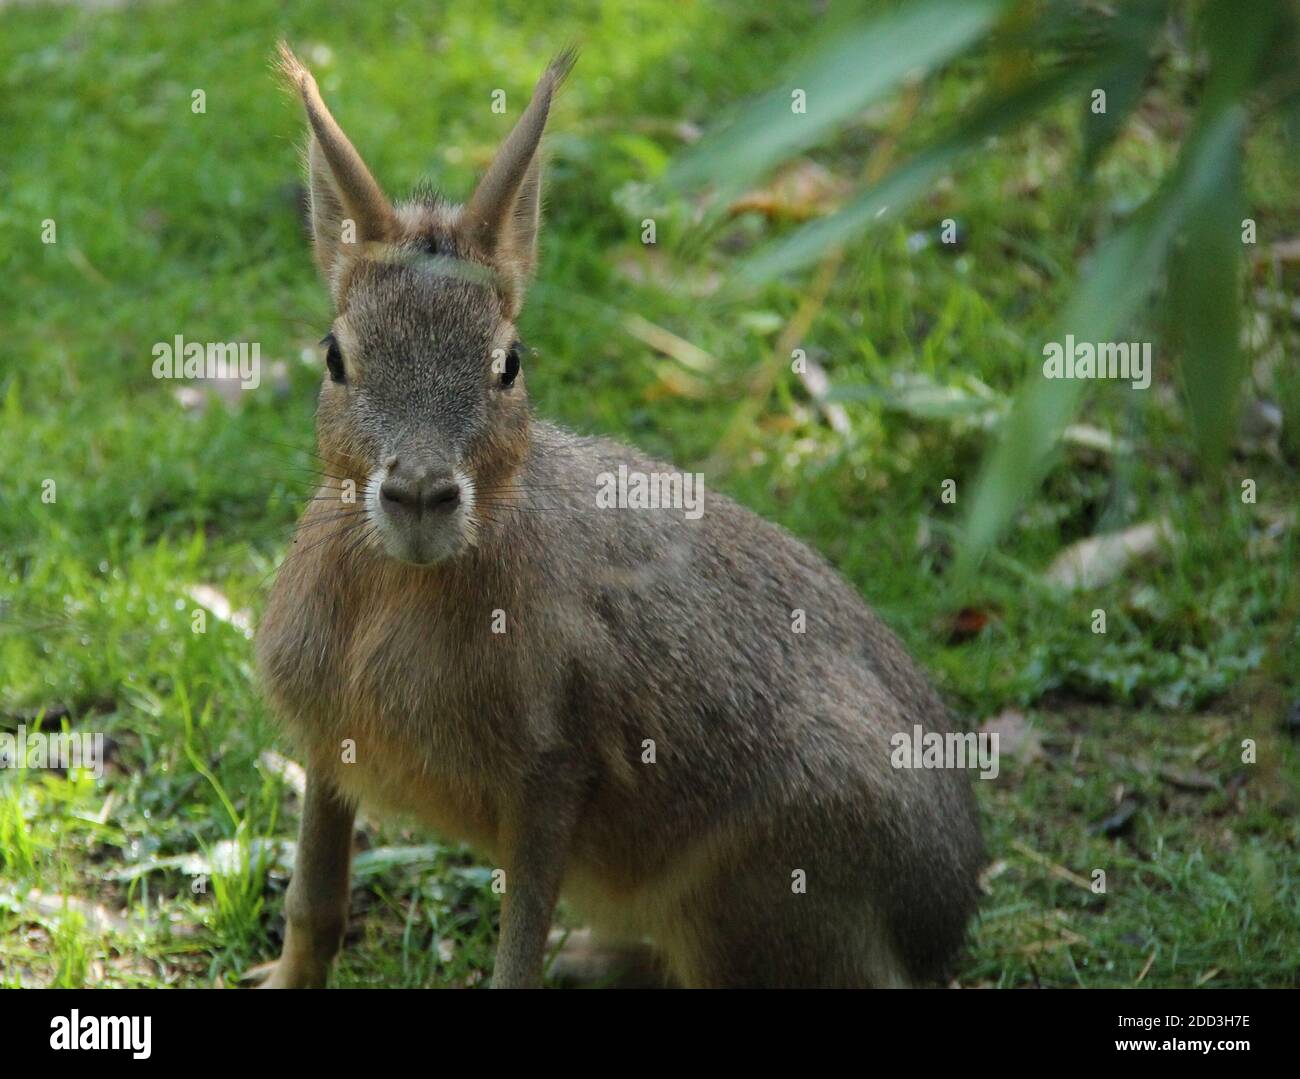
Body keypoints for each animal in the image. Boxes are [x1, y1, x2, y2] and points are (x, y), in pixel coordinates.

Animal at [255, 43, 984, 989]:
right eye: (336, 357)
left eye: (509, 364)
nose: (418, 493)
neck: (399, 586)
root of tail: (938, 927)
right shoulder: (326, 746)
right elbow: (315, 905)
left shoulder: (551, 777)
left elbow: (513, 954)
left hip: (747, 898)